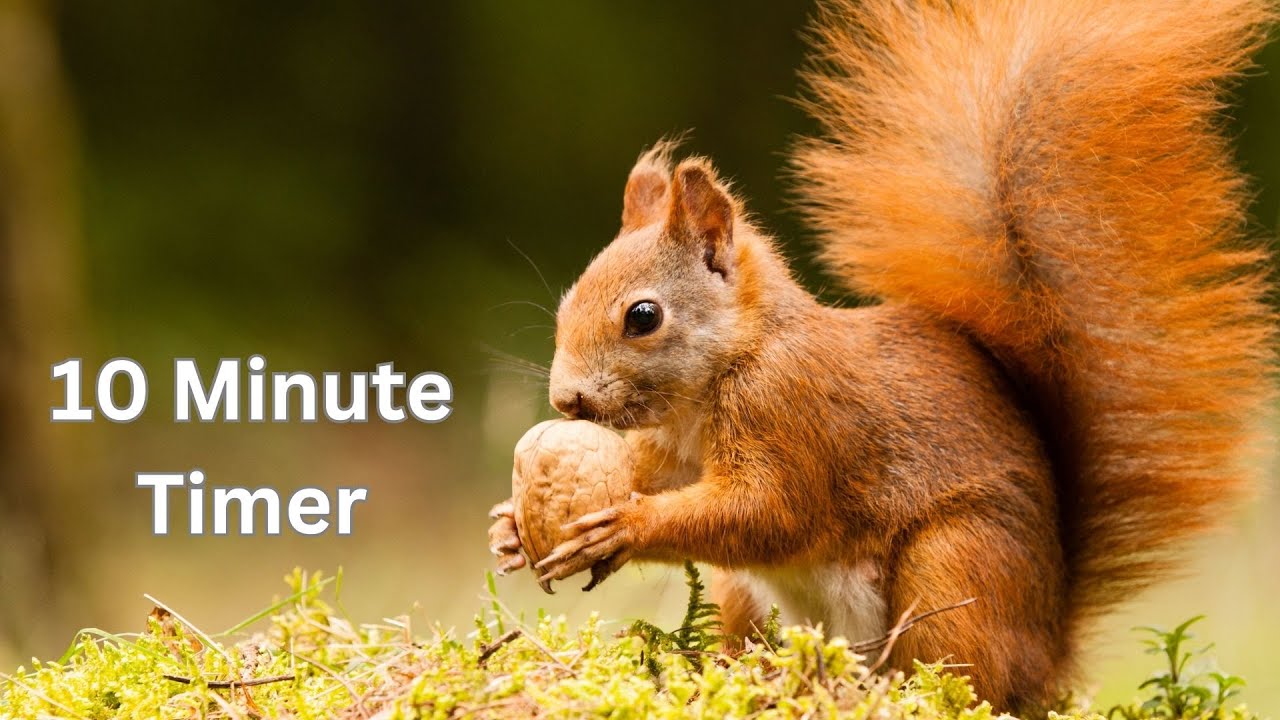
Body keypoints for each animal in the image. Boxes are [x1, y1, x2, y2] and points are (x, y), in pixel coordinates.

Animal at [487, 0, 1277, 711]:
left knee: (963, 676)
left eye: (643, 317)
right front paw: (510, 527)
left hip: (955, 567)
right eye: (568, 300)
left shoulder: (792, 410)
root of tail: (1049, 651)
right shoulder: (674, 451)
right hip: (749, 597)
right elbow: (658, 478)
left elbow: (768, 512)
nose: (566, 400)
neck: (722, 375)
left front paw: (624, 526)